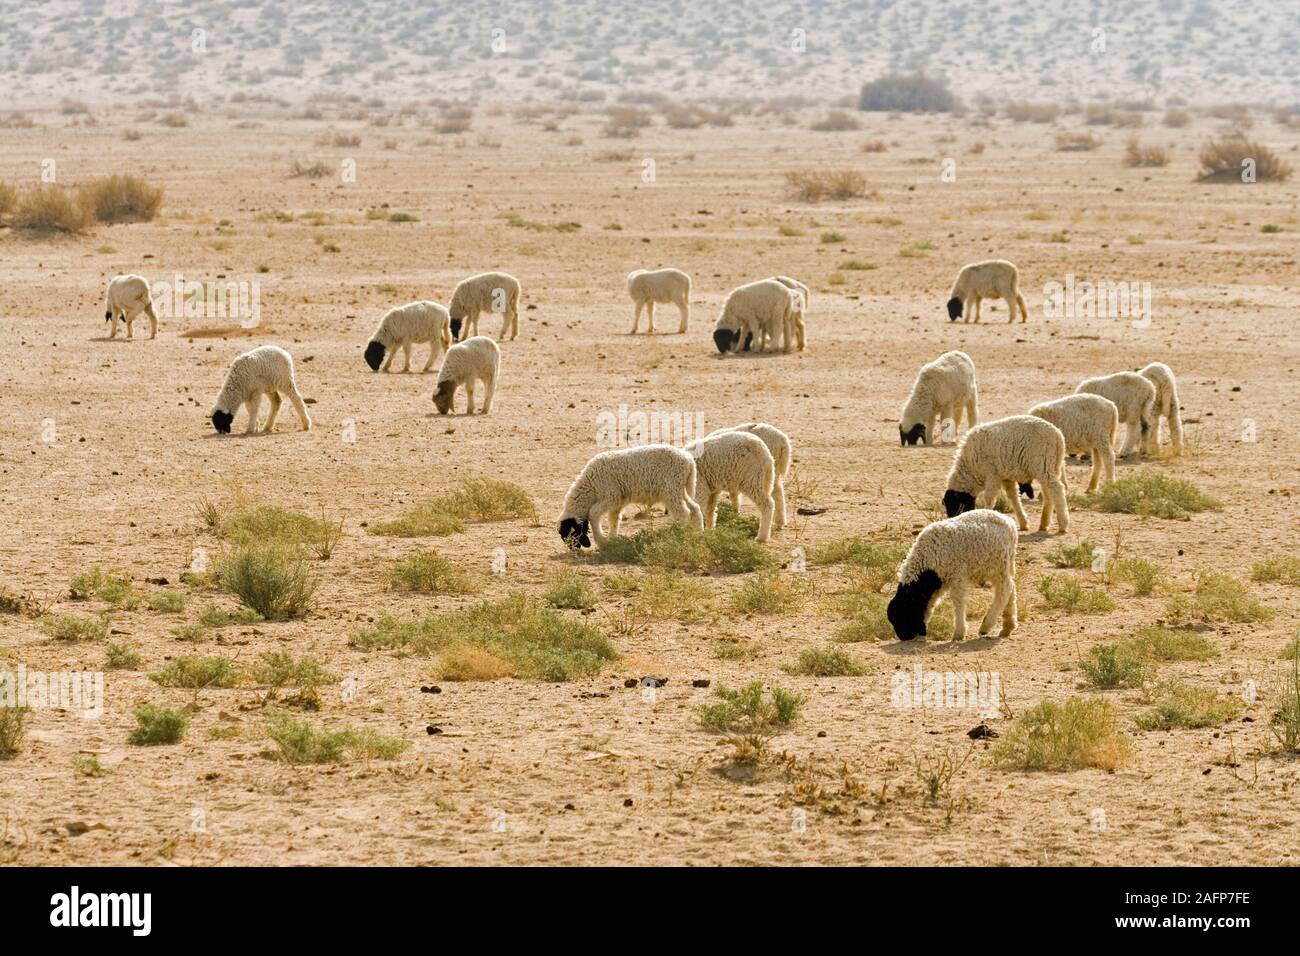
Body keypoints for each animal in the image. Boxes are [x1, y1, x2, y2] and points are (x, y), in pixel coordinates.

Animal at [558, 444, 704, 550]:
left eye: (571, 533)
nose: (574, 550)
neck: (590, 486)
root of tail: (689, 461)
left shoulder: (611, 496)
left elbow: (593, 513)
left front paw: (602, 541)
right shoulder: (617, 502)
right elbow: (614, 519)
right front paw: (612, 540)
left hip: (671, 490)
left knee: (683, 513)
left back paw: (680, 535)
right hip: (680, 489)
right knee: (695, 509)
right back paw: (699, 533)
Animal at [887, 509, 1019, 641]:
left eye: (904, 615)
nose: (904, 637)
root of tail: (1009, 522)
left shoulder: (957, 575)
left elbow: (958, 601)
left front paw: (958, 633)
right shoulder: (939, 584)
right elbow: (930, 604)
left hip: (998, 565)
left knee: (1004, 590)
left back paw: (986, 626)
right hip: (1005, 564)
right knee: (1011, 587)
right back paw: (1008, 626)